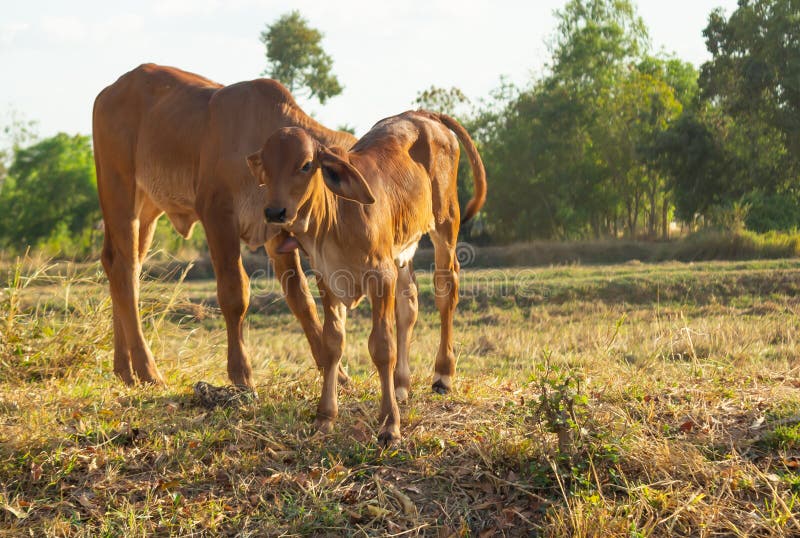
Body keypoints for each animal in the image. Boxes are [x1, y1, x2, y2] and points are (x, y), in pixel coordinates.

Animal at [92, 63, 355, 389]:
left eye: (307, 165)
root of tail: (109, 91)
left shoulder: (276, 232)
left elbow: (300, 298)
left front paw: (337, 373)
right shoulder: (218, 217)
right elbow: (234, 294)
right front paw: (241, 373)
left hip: (147, 210)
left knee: (118, 265)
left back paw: (124, 369)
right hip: (120, 194)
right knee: (126, 273)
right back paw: (147, 369)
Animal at [246, 110, 486, 444]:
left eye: (306, 164)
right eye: (266, 167)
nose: (275, 212)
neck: (335, 220)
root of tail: (420, 114)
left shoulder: (380, 275)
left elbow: (382, 347)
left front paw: (389, 425)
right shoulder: (328, 278)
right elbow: (332, 343)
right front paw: (325, 417)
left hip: (445, 223)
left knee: (445, 292)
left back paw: (443, 374)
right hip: (401, 251)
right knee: (409, 305)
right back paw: (401, 384)